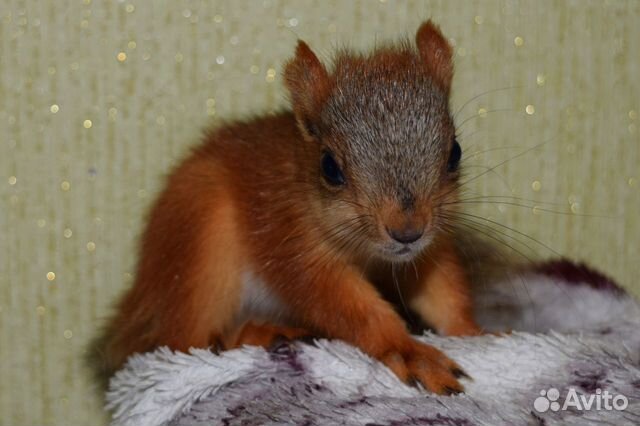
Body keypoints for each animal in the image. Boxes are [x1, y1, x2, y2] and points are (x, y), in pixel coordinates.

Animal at [97, 20, 483, 395]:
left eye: (455, 153)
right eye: (329, 167)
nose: (407, 232)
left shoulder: (428, 245)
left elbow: (442, 287)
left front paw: (475, 333)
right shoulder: (292, 243)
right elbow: (345, 303)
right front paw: (409, 351)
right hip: (199, 252)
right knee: (185, 343)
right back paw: (258, 333)